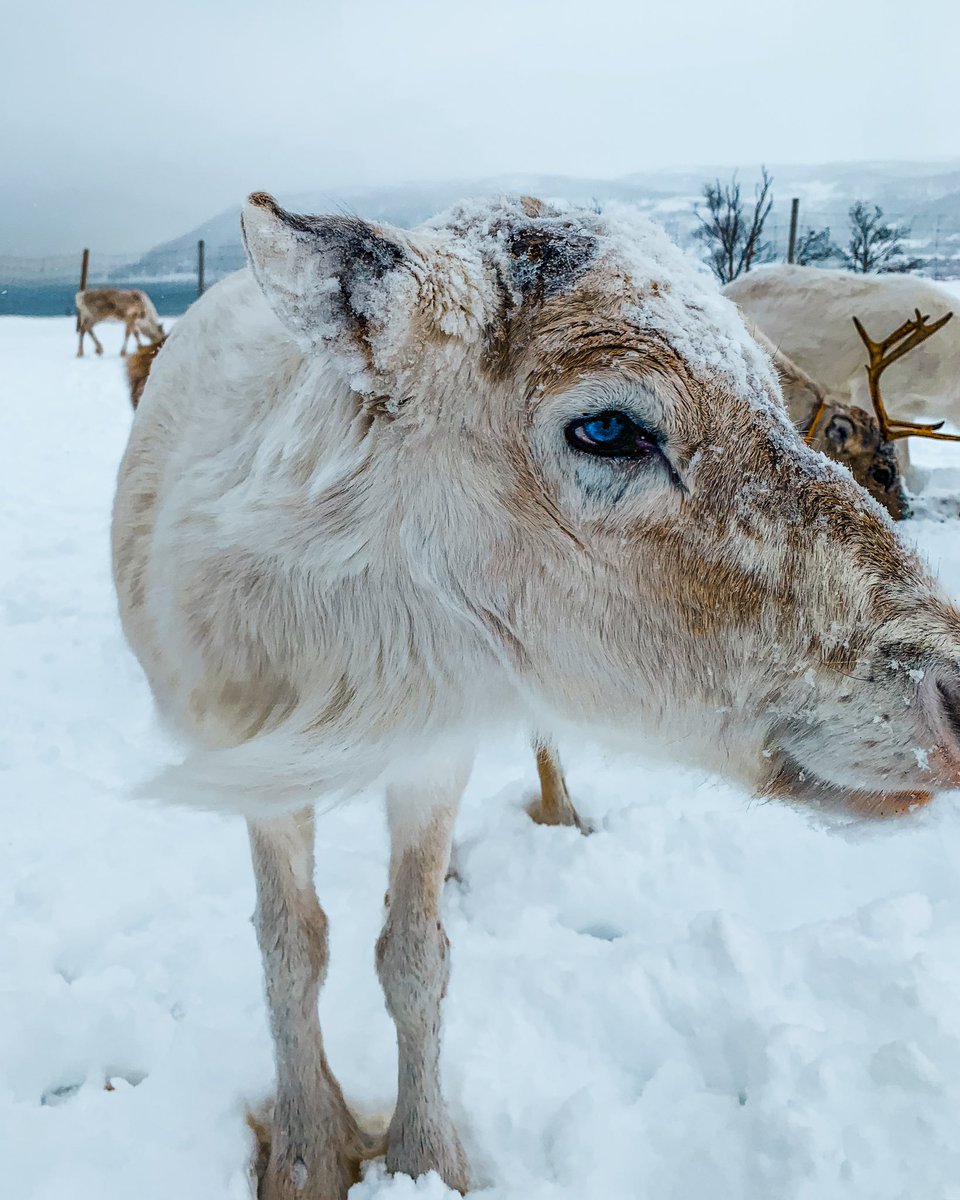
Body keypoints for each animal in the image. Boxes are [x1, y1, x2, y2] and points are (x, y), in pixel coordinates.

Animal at [112, 193, 960, 1200]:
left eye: (780, 406)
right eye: (608, 428)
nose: (953, 691)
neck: (352, 672)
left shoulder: (440, 742)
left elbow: (415, 956)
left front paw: (427, 1158)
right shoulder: (245, 751)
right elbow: (292, 951)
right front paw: (309, 1154)